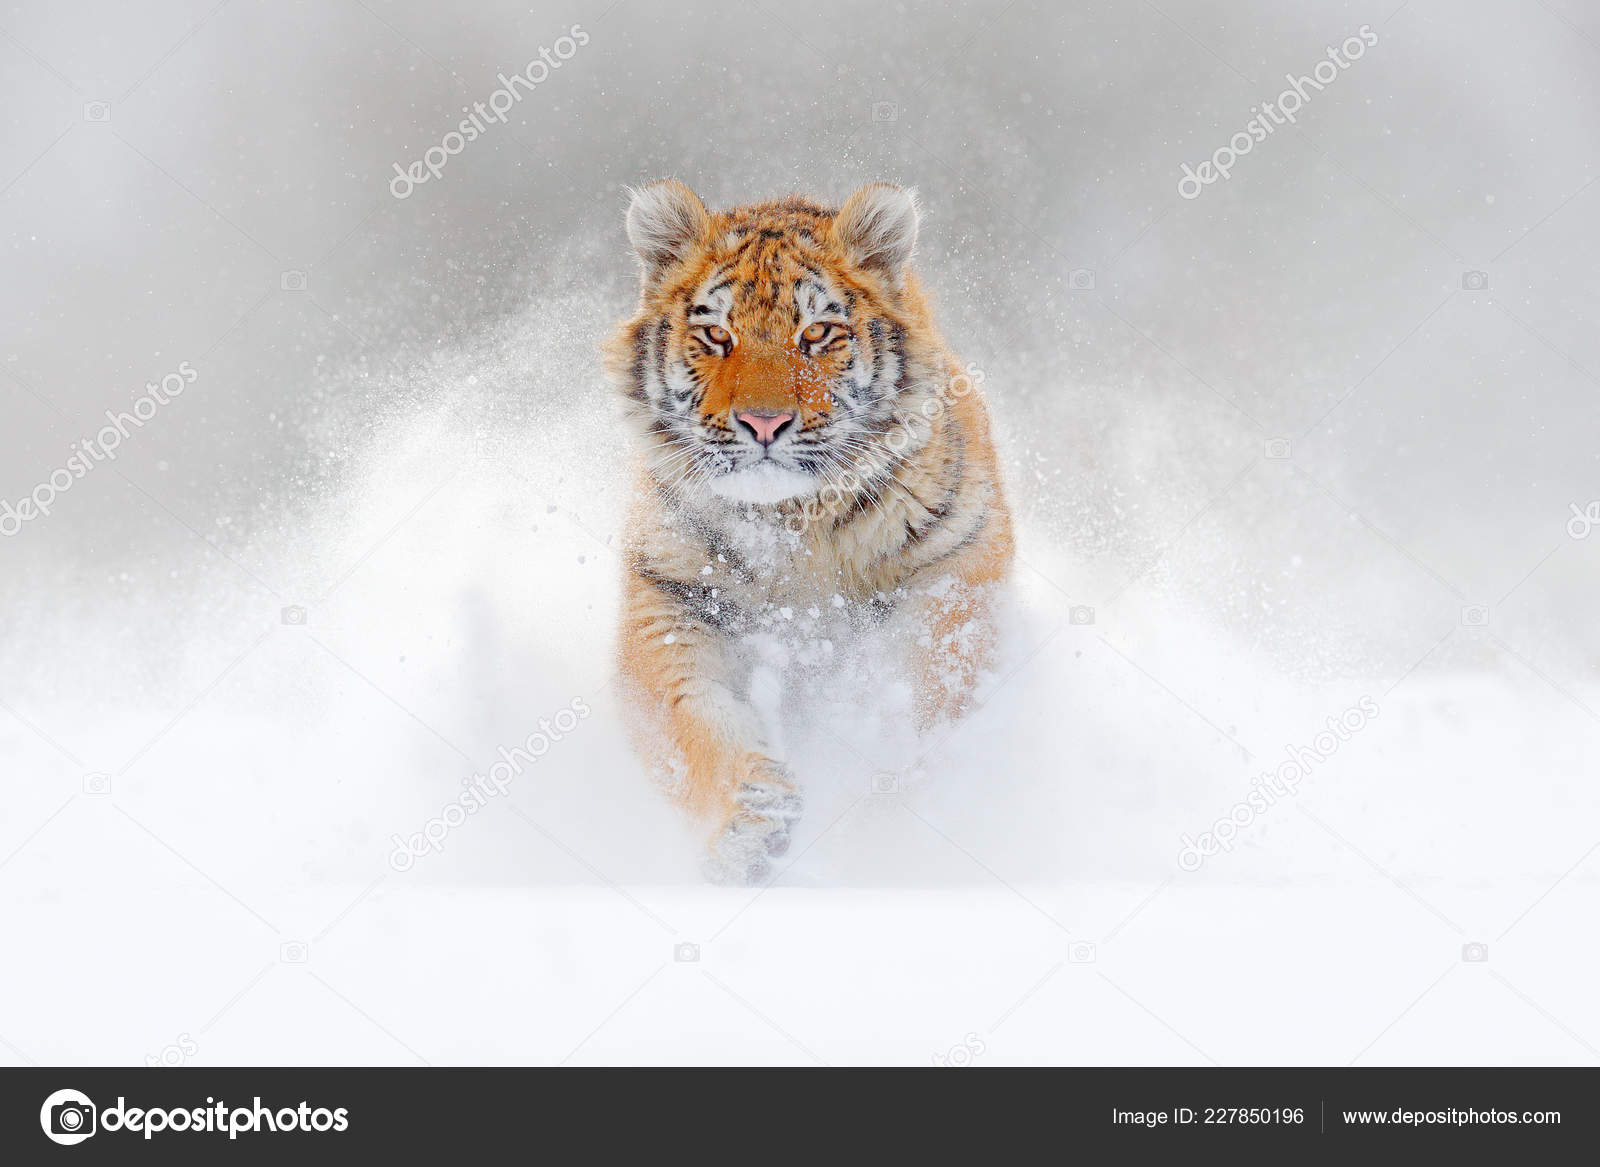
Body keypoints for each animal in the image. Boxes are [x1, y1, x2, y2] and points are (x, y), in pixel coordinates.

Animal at [603, 180, 1014, 885]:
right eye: (716, 334)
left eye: (817, 331)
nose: (764, 423)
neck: (792, 522)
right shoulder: (668, 596)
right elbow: (691, 719)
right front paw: (749, 828)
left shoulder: (960, 561)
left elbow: (932, 685)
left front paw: (892, 788)